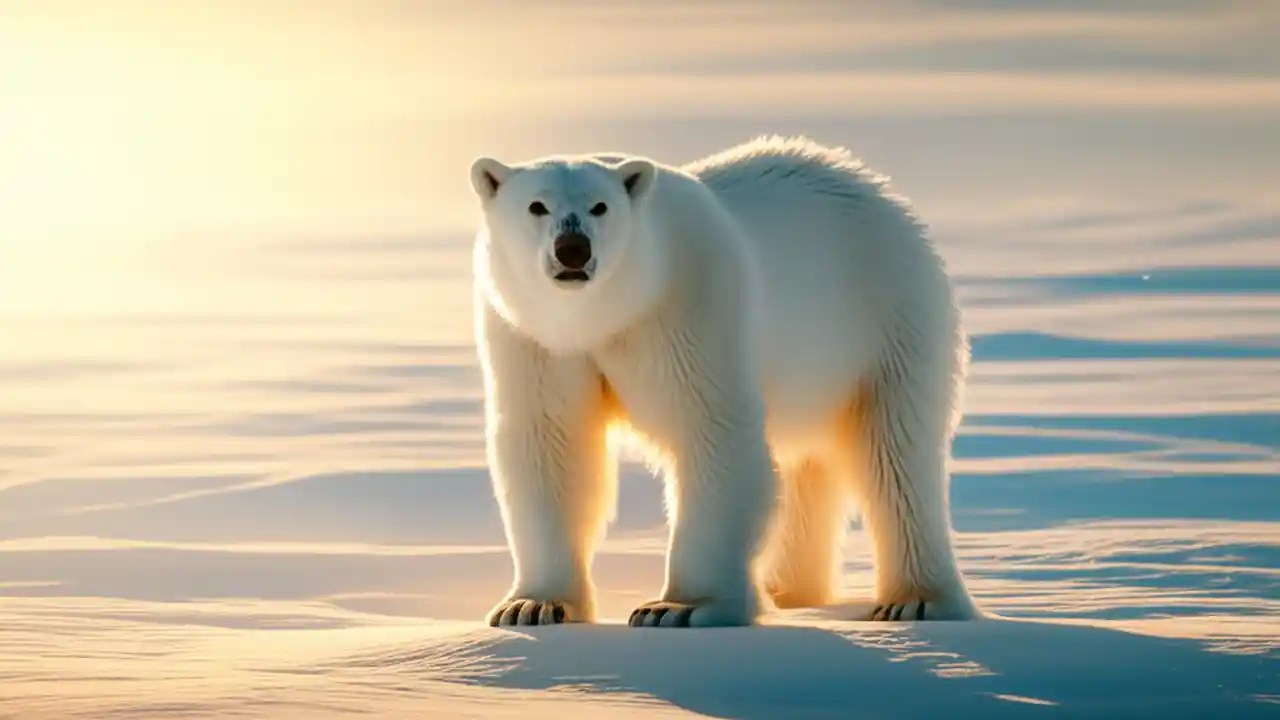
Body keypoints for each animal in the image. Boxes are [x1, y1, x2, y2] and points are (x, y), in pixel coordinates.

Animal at [469, 136, 976, 628]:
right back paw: (788, 590)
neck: (616, 309)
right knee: (809, 465)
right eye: (537, 206)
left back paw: (916, 601)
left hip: (887, 318)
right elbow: (550, 443)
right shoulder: (533, 338)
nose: (573, 249)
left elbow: (712, 430)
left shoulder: (690, 305)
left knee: (895, 455)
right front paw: (532, 606)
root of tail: (879, 192)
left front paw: (677, 608)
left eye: (600, 206)